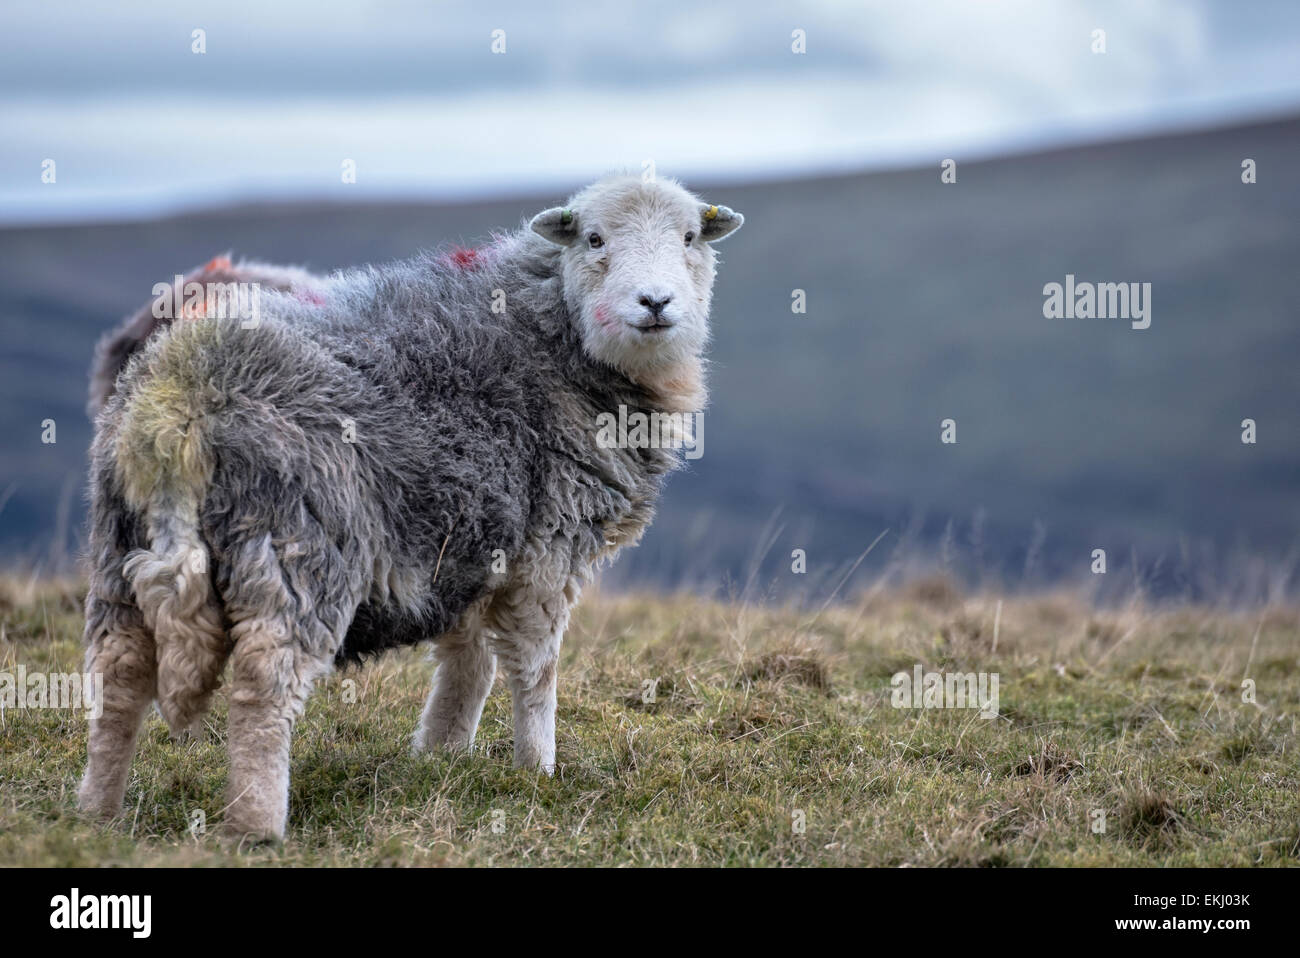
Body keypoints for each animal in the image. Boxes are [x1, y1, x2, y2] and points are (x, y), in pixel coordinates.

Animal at [78, 175, 743, 841]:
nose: (655, 302)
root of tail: (181, 404)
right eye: (594, 239)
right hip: (298, 547)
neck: (555, 338)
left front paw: (440, 756)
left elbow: (468, 662)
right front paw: (538, 772)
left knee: (120, 677)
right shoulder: (546, 545)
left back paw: (96, 813)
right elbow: (535, 668)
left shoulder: (474, 541)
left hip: (119, 546)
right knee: (264, 686)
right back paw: (255, 825)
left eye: (690, 237)